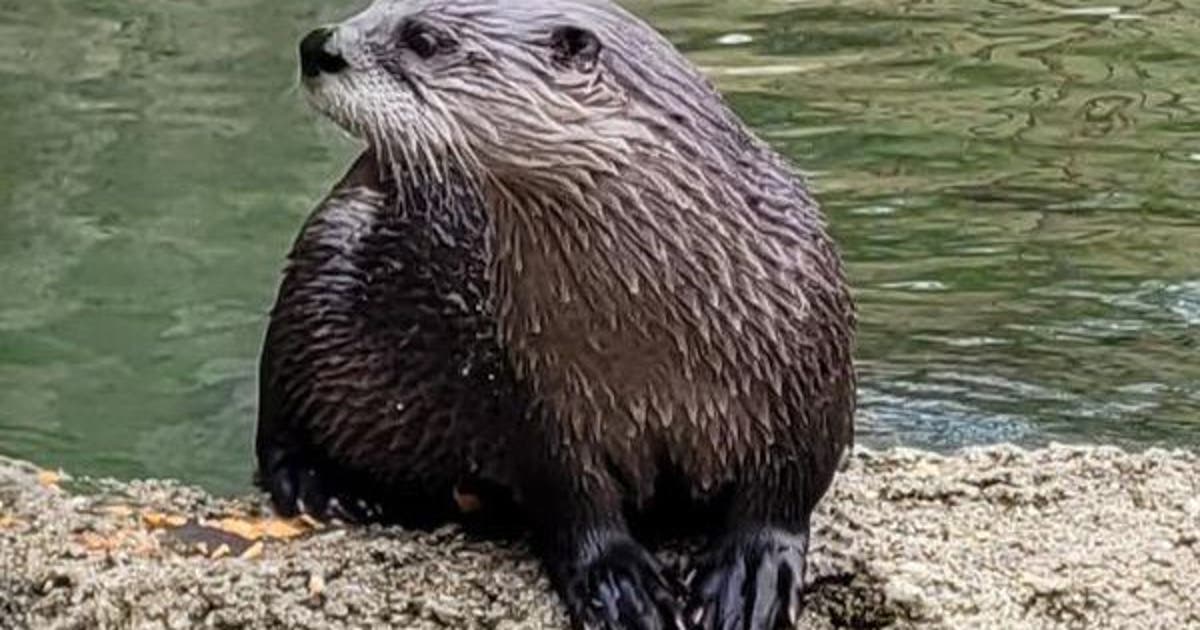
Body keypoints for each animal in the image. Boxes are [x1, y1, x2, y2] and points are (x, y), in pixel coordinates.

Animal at [289, 1, 857, 629]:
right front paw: (617, 580)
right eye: (373, 6)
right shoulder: (531, 391)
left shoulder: (812, 358)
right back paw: (318, 488)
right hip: (322, 258)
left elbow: (788, 487)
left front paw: (753, 568)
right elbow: (570, 501)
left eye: (424, 39)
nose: (318, 46)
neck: (652, 336)